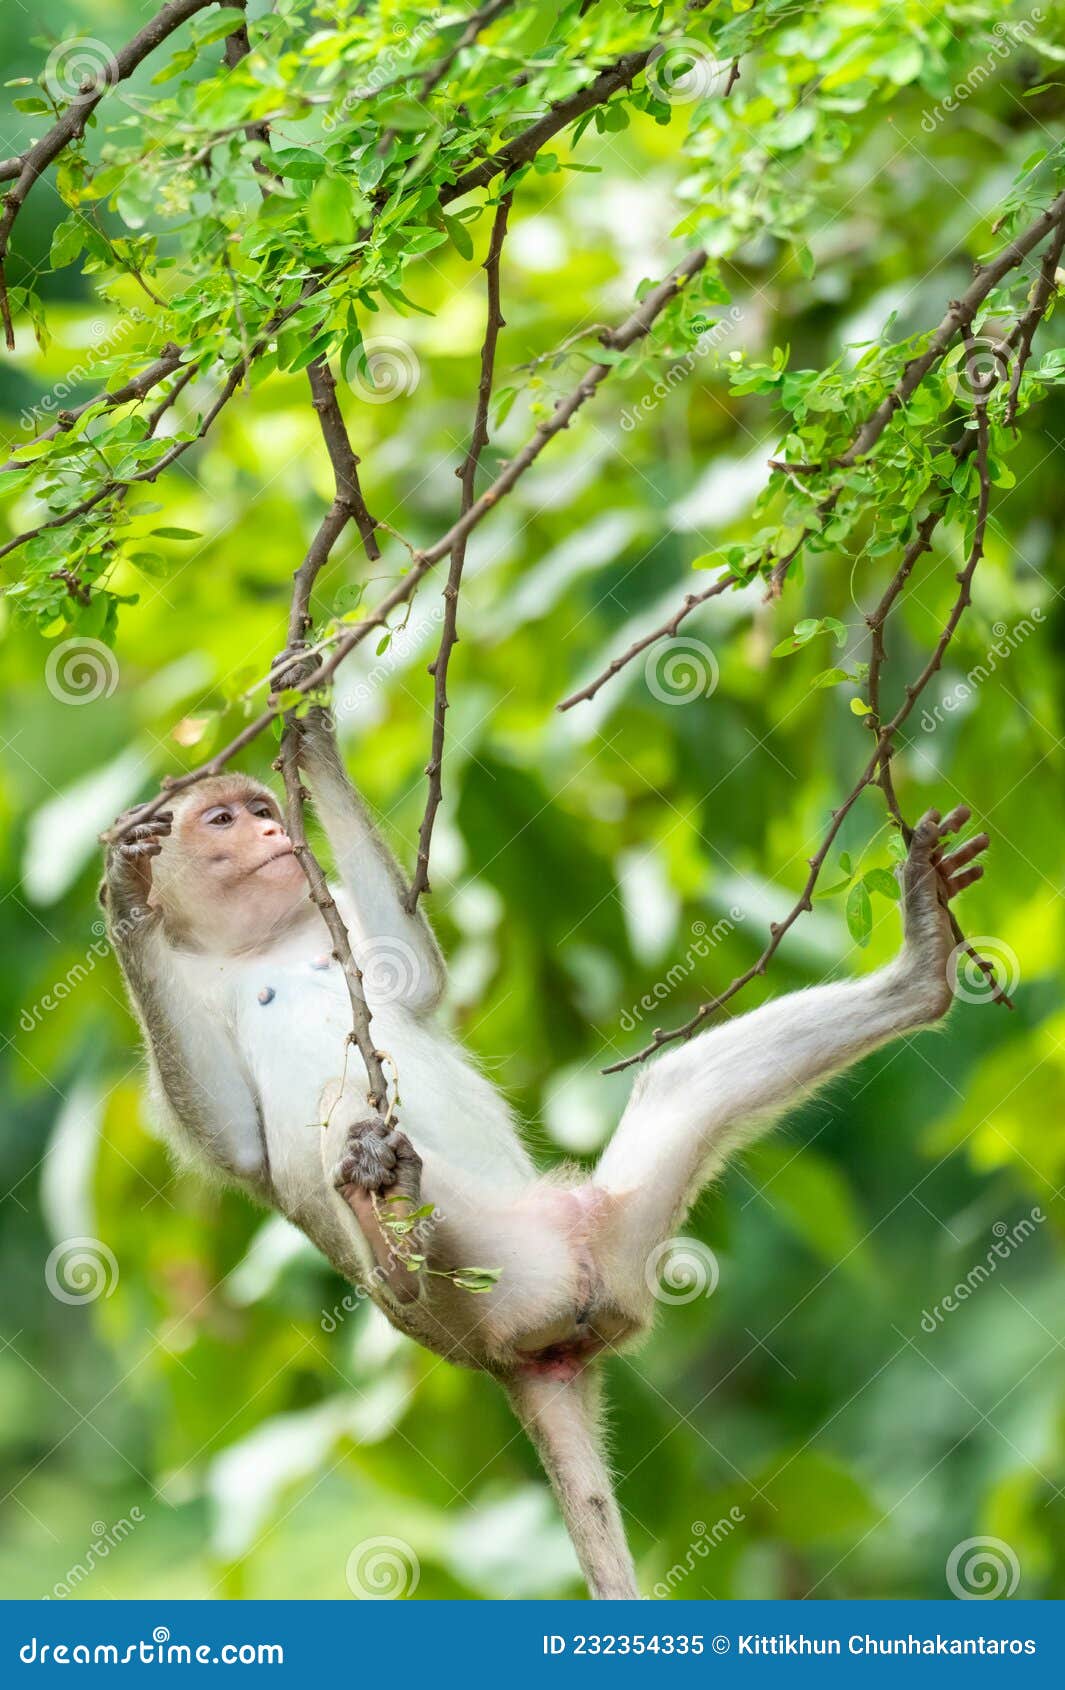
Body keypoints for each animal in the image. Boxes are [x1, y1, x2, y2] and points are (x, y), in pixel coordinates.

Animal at [101, 705, 989, 1601]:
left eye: (257, 807)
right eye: (222, 819)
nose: (273, 827)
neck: (260, 947)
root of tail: (523, 1353)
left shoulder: (334, 915)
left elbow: (411, 976)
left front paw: (311, 738)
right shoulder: (200, 996)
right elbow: (236, 1140)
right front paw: (126, 902)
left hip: (597, 1247)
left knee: (676, 1088)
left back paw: (918, 974)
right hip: (485, 1294)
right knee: (345, 1114)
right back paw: (388, 1244)